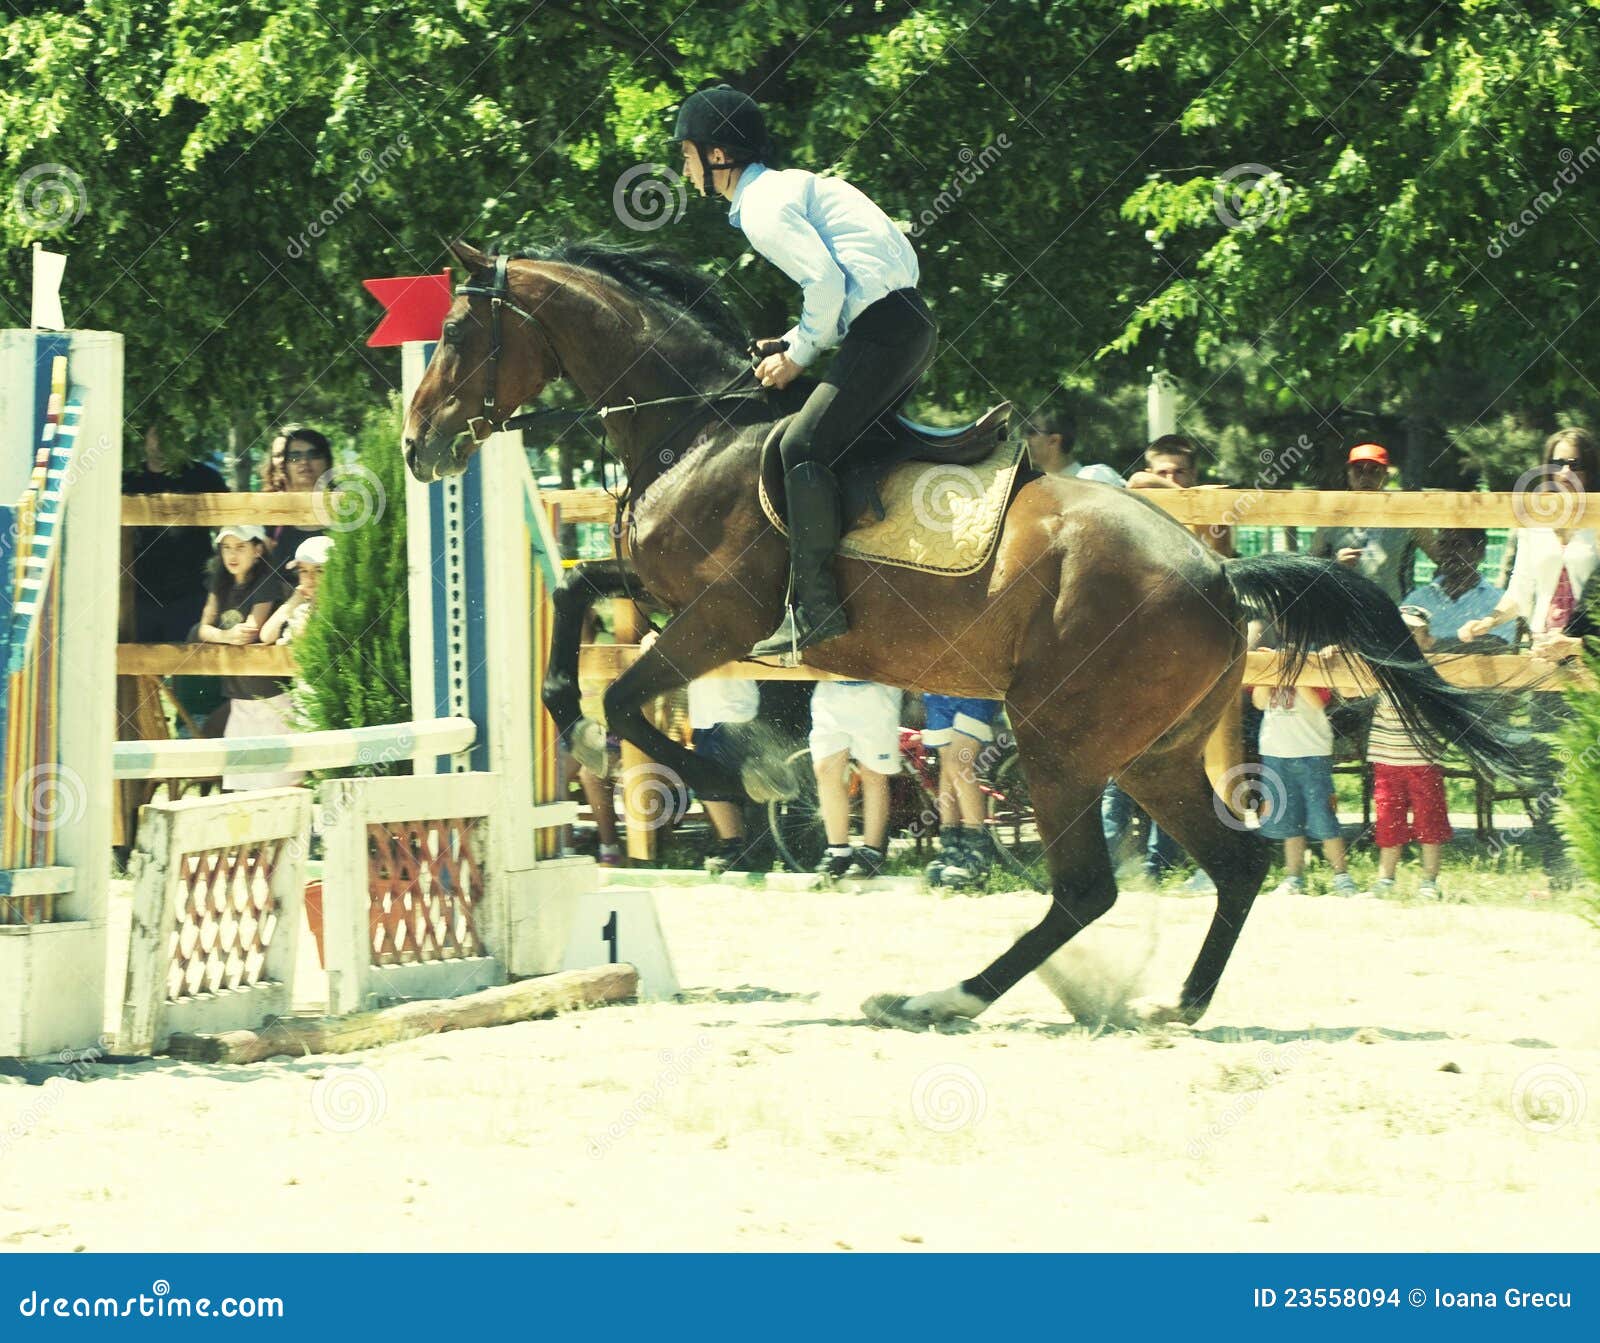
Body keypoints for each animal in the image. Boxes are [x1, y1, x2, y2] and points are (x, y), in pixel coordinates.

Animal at [404, 238, 1528, 1029]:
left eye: (457, 335)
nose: (417, 444)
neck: (698, 425)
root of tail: (1217, 570)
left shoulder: (724, 612)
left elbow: (632, 696)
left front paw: (738, 779)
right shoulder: (659, 584)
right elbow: (576, 605)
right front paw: (586, 732)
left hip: (1062, 741)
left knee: (1087, 887)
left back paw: (941, 998)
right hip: (1151, 753)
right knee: (1233, 864)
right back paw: (1177, 1002)